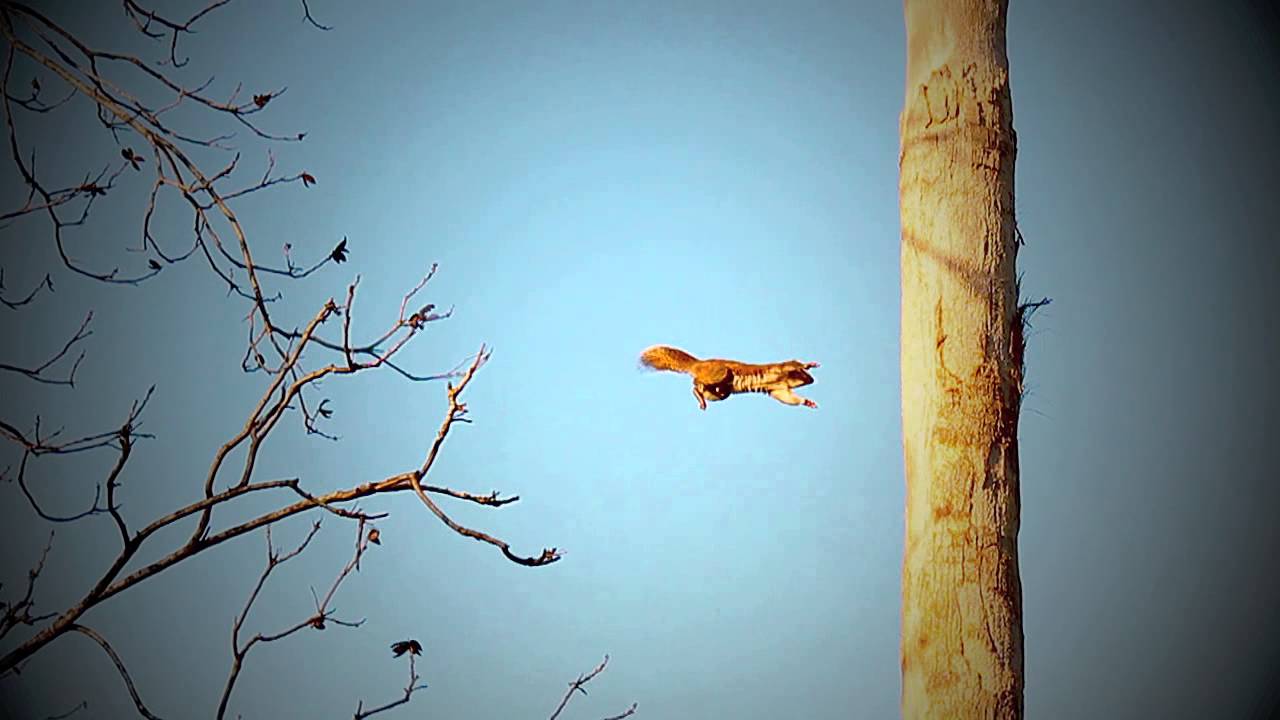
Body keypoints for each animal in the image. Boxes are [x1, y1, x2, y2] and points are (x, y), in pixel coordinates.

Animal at [639, 345, 820, 411]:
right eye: (805, 375)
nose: (812, 380)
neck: (784, 378)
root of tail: (699, 364)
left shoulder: (778, 389)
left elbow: (788, 398)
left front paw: (807, 402)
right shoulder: (782, 368)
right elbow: (793, 363)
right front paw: (809, 364)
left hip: (716, 391)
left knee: (705, 390)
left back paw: (704, 397)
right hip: (719, 373)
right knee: (696, 383)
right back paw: (699, 394)